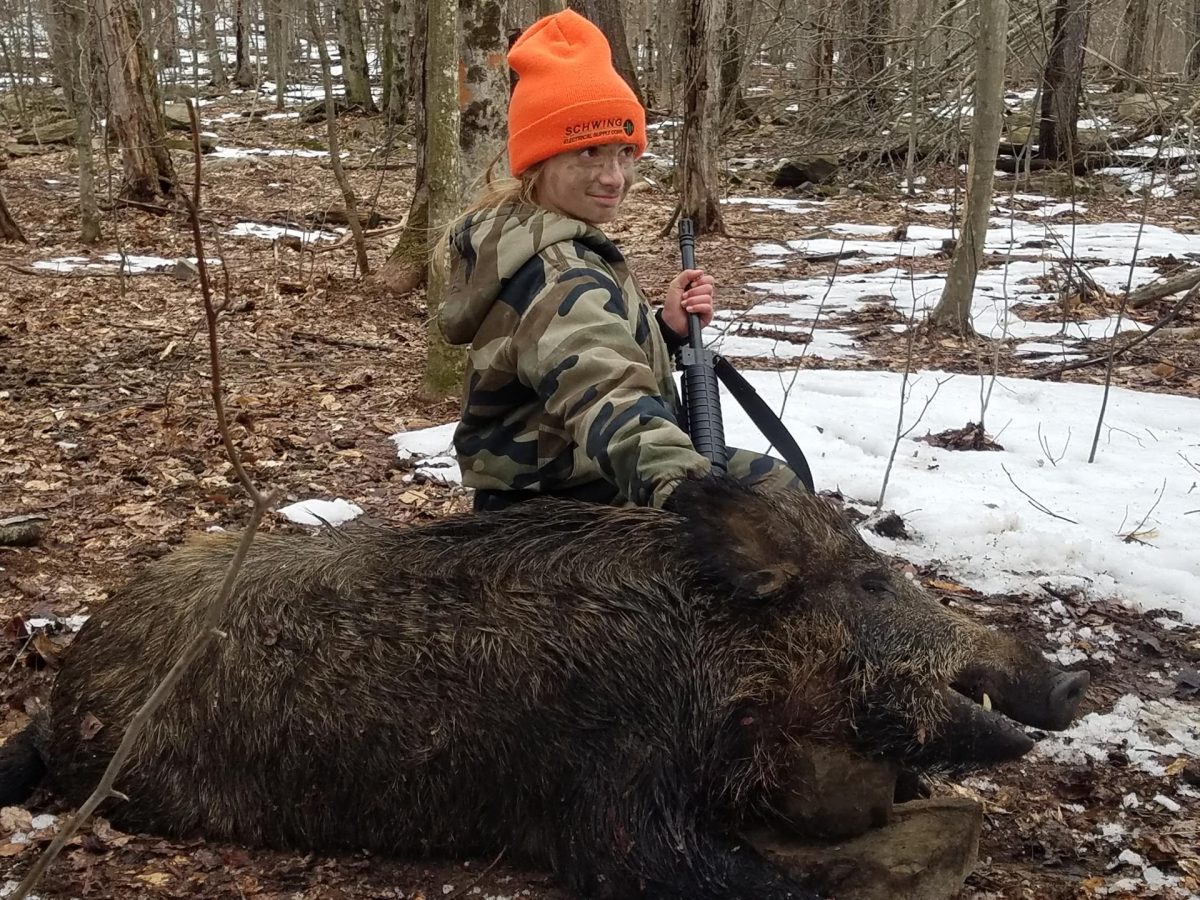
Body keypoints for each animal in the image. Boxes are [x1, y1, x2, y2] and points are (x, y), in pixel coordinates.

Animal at [0, 477, 1088, 900]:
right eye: (868, 583)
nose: (1072, 679)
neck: (714, 658)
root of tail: (58, 702)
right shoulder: (612, 784)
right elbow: (694, 866)